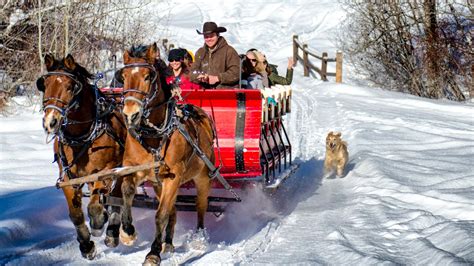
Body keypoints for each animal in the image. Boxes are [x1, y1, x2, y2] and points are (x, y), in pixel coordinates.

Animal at [36, 54, 127, 260]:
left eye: (71, 87)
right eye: (44, 85)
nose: (50, 122)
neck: (82, 135)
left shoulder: (106, 171)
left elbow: (95, 207)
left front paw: (99, 223)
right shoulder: (68, 178)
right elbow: (76, 214)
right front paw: (86, 245)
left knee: (117, 198)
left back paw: (111, 231)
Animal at [116, 42, 215, 264]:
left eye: (147, 76)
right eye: (123, 77)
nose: (130, 115)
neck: (153, 134)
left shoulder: (174, 176)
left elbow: (160, 214)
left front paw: (153, 253)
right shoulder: (135, 169)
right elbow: (127, 190)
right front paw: (127, 232)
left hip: (202, 177)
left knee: (200, 206)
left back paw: (199, 239)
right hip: (159, 183)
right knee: (173, 210)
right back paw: (168, 243)